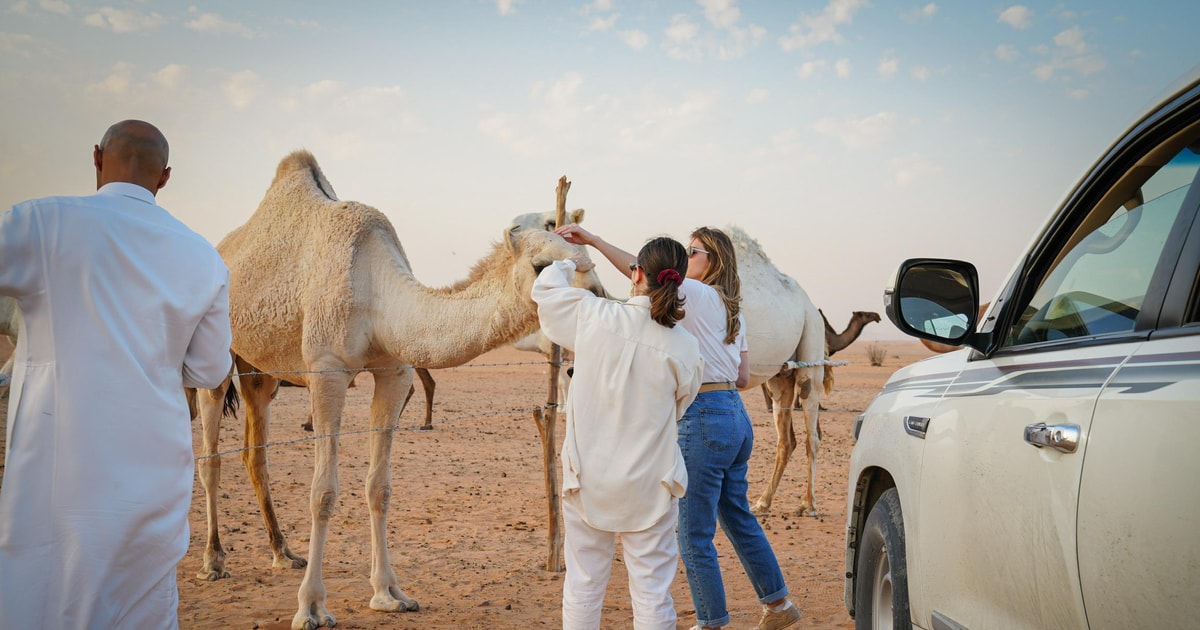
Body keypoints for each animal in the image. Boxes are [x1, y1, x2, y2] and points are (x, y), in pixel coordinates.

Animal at [191, 150, 602, 630]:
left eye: (587, 259)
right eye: (542, 266)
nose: (599, 293)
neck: (377, 292)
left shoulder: (395, 371)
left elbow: (380, 487)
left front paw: (389, 593)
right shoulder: (327, 370)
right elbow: (323, 491)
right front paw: (311, 607)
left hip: (261, 370)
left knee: (255, 454)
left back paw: (283, 552)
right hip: (216, 356)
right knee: (210, 457)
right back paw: (213, 561)